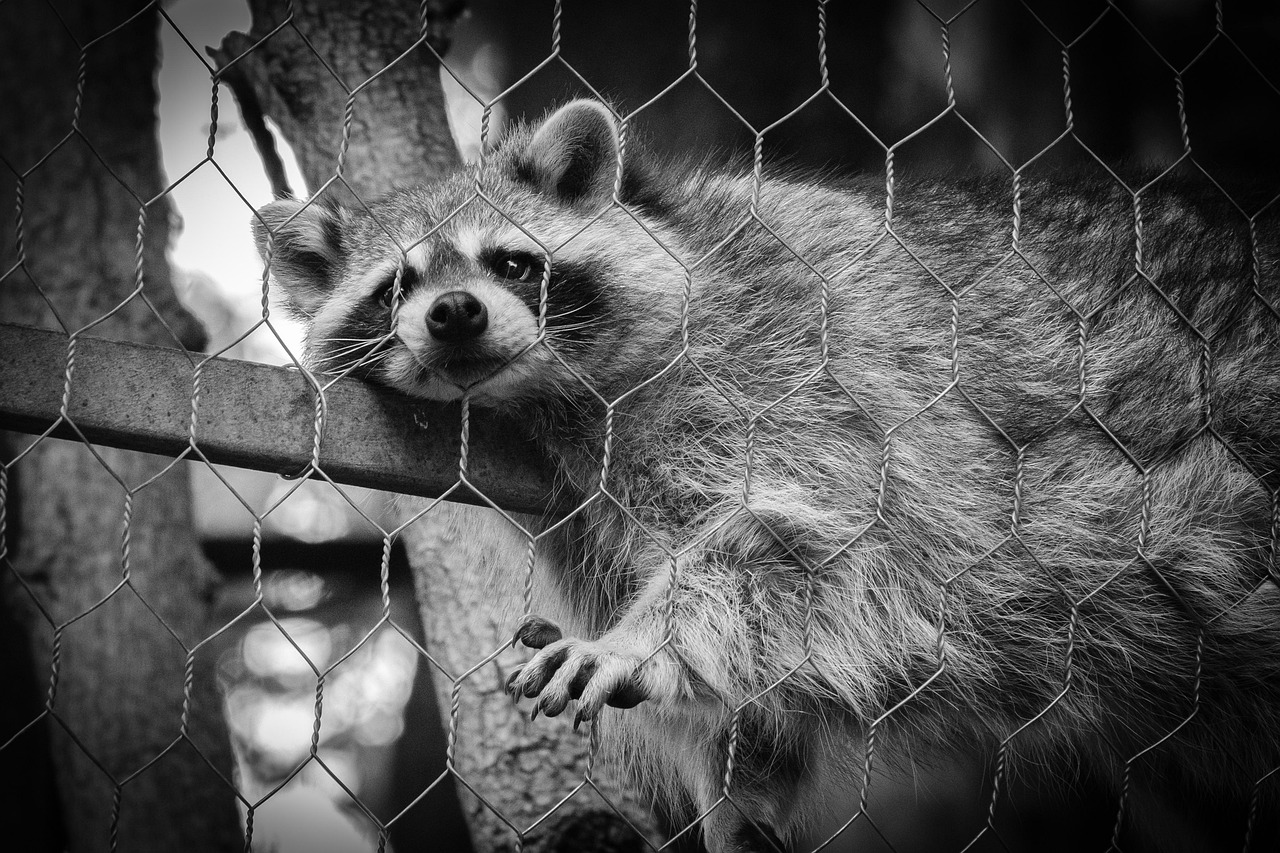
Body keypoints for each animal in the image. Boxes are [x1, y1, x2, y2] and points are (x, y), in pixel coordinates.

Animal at [254, 100, 1280, 852]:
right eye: (396, 286)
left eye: (511, 262)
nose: (455, 313)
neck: (543, 401)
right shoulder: (573, 510)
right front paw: (737, 790)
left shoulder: (803, 368)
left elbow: (830, 544)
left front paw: (642, 641)